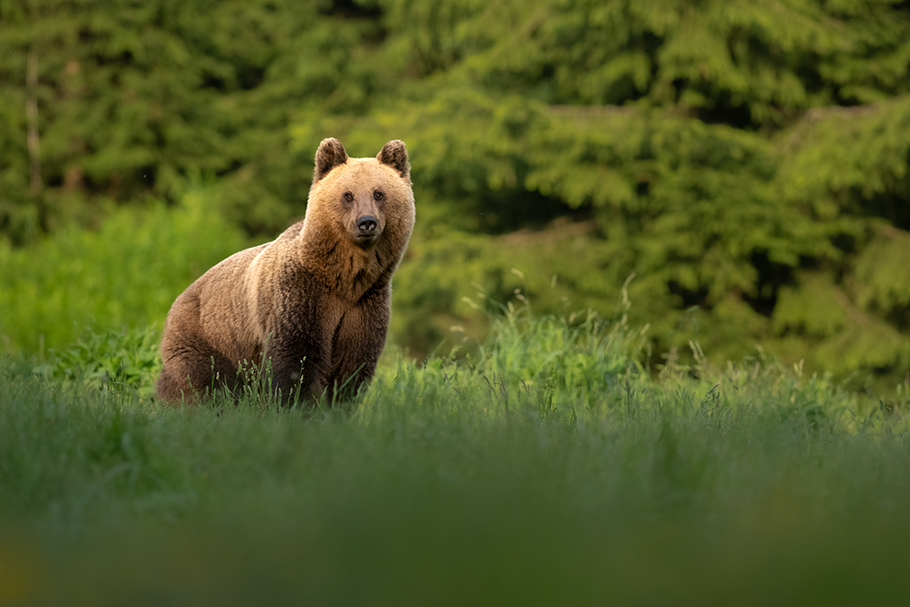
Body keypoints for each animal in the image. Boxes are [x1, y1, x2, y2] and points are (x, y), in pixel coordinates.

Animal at [155, 138, 415, 405]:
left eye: (378, 193)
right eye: (348, 194)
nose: (366, 222)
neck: (343, 279)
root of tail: (178, 299)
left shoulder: (365, 304)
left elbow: (351, 368)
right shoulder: (301, 295)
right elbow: (296, 361)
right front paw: (297, 404)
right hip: (208, 336)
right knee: (211, 384)